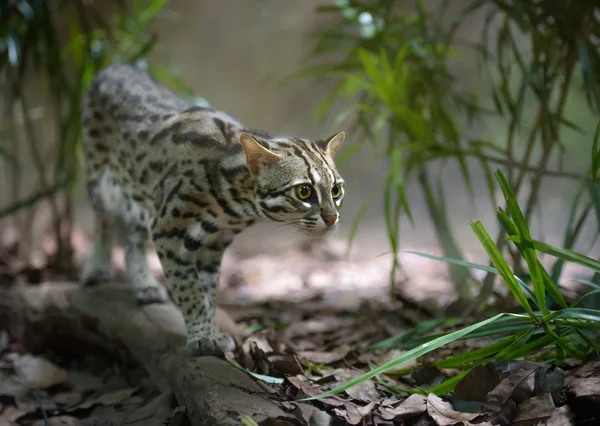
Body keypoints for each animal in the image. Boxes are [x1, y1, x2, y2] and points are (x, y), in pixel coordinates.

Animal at [80, 63, 344, 356]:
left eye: (336, 190)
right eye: (304, 191)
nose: (332, 218)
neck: (235, 206)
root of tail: (117, 65)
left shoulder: (213, 245)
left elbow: (208, 293)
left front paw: (211, 333)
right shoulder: (167, 230)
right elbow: (190, 290)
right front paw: (201, 337)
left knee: (133, 236)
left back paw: (144, 283)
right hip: (99, 178)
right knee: (103, 221)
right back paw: (98, 268)